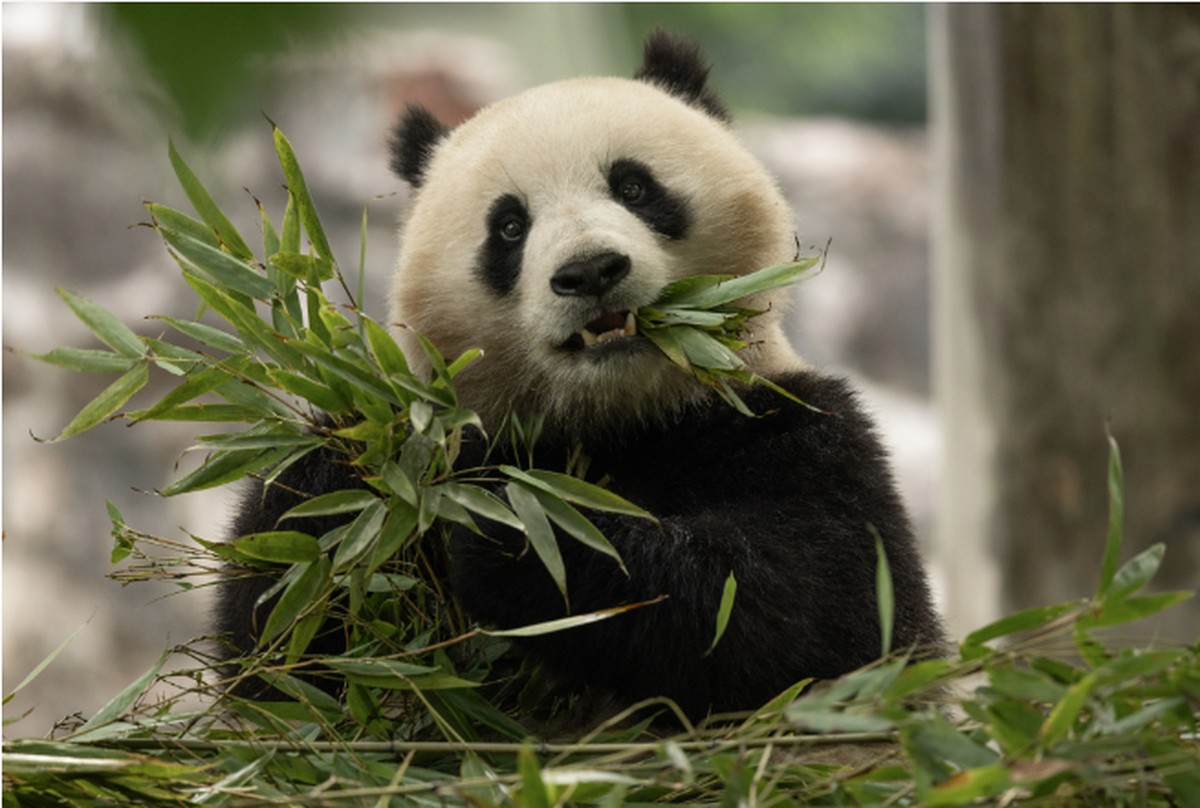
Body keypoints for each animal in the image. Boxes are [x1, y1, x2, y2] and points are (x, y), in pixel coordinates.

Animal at [216, 31, 945, 722]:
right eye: (509, 226)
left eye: (634, 187)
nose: (591, 271)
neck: (618, 416)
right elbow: (282, 657)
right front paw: (349, 478)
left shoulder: (794, 426)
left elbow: (822, 614)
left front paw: (517, 531)